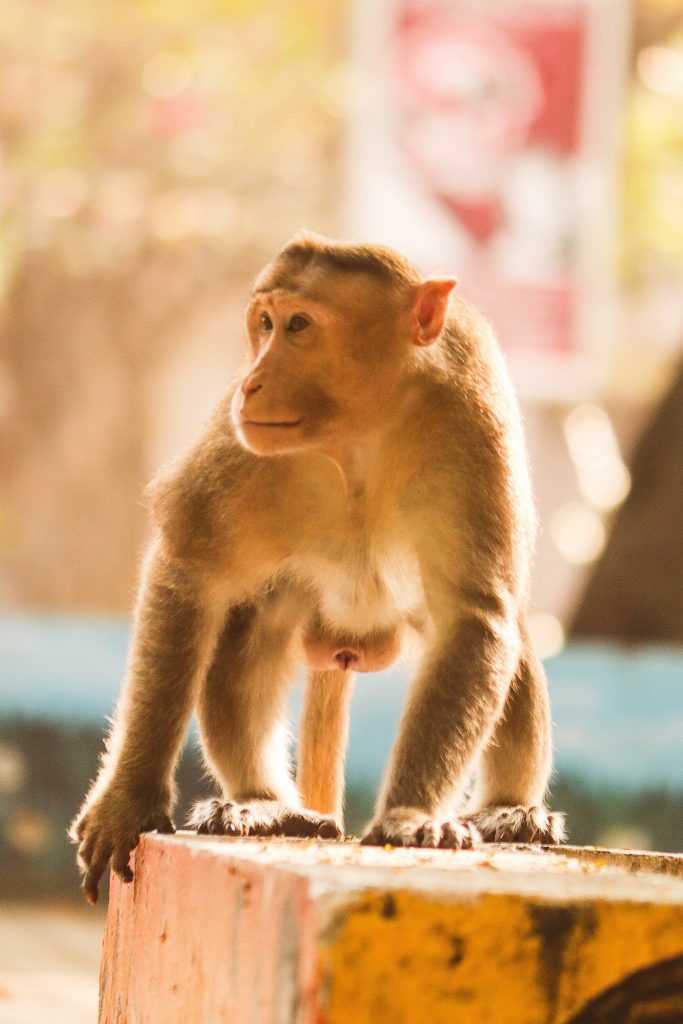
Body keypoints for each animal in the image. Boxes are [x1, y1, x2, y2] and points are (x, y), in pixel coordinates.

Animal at [70, 231, 565, 904]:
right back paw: (263, 803)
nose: (251, 383)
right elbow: (190, 570)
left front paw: (410, 814)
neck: (359, 437)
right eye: (265, 324)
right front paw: (130, 797)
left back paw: (509, 811)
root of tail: (349, 647)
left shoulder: (474, 421)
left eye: (299, 326)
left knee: (506, 638)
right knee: (252, 631)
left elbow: (475, 615)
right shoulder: (241, 449)